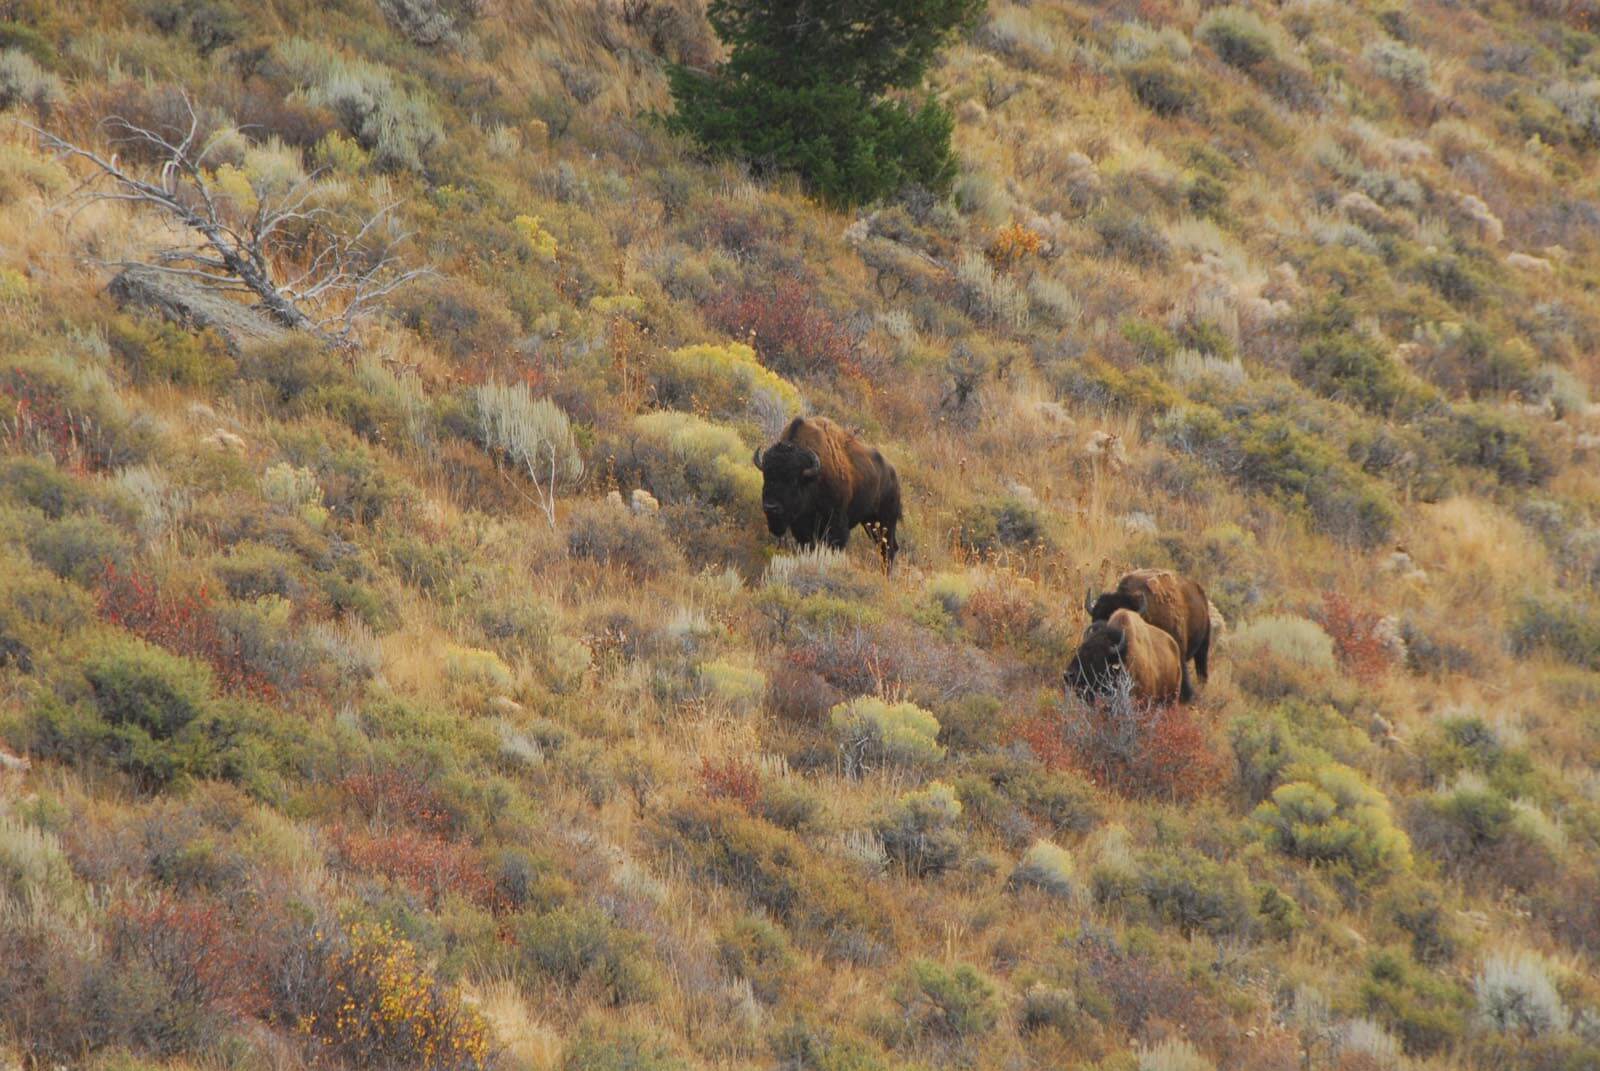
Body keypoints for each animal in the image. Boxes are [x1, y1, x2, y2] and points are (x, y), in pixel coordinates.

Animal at [752, 416, 902, 564]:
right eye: (766, 476)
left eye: (793, 480)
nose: (771, 507)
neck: (813, 478)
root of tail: (893, 475)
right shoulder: (802, 527)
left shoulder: (836, 523)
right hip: (870, 522)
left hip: (885, 520)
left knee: (888, 548)